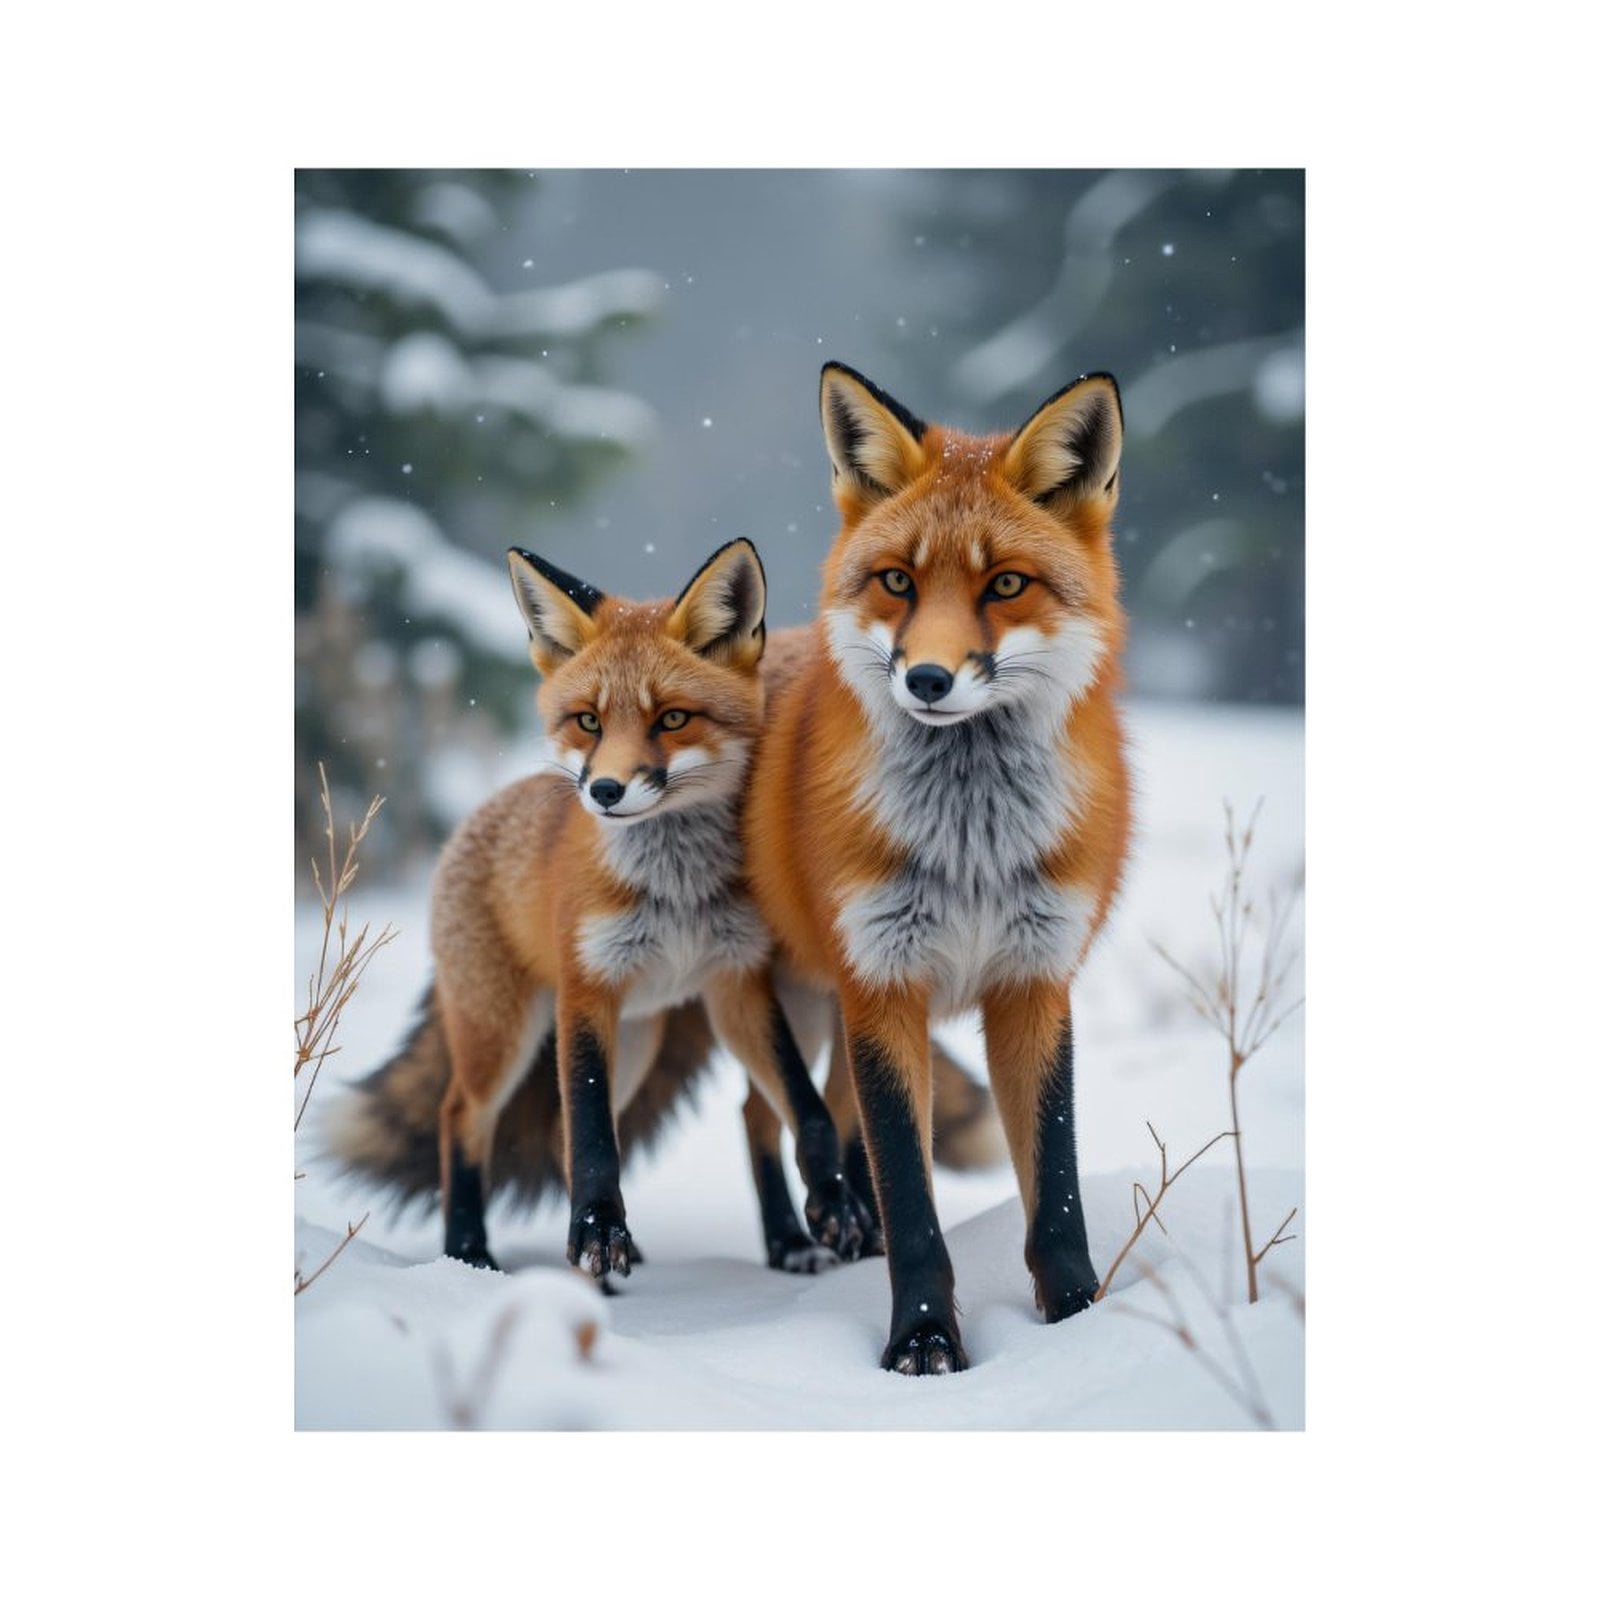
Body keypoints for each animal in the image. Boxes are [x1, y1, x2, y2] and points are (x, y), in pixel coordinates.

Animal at [326, 538, 873, 1279]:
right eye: (588, 720)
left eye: (672, 718)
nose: (606, 791)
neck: (674, 890)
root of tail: (474, 819)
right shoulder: (586, 990)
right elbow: (590, 1139)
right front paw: (595, 1230)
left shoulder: (739, 984)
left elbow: (808, 1108)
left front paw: (839, 1205)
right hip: (503, 1032)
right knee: (462, 1116)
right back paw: (469, 1252)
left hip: (636, 1042)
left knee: (584, 1126)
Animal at [741, 362, 1133, 1374]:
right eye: (896, 581)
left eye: (1006, 584)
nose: (926, 679)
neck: (970, 844)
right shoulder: (884, 983)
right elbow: (915, 1201)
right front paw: (922, 1341)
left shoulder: (1033, 979)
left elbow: (1056, 1186)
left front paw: (1079, 1318)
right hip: (783, 992)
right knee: (767, 1113)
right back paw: (795, 1239)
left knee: (828, 1120)